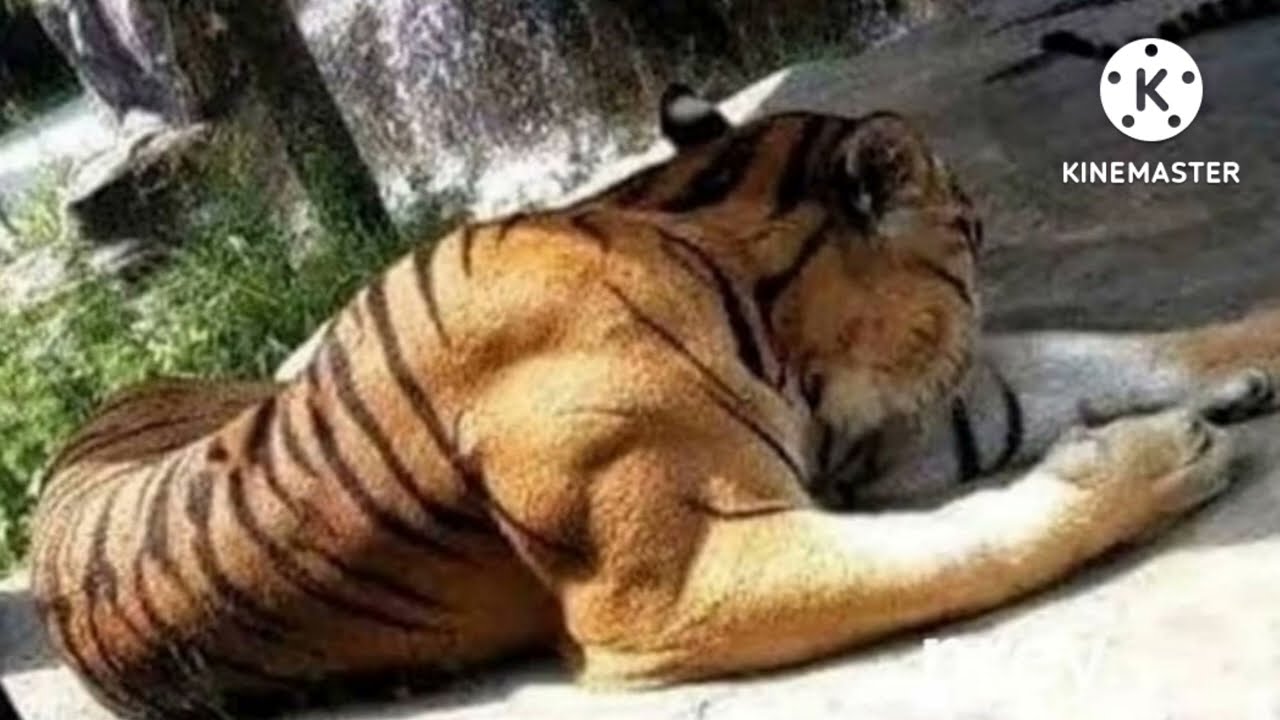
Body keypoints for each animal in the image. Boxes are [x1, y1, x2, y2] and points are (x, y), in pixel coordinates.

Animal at [27, 83, 1280, 719]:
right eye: (969, 239)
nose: (974, 277)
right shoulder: (683, 576)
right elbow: (969, 546)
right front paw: (1157, 457)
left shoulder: (893, 429)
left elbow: (1105, 352)